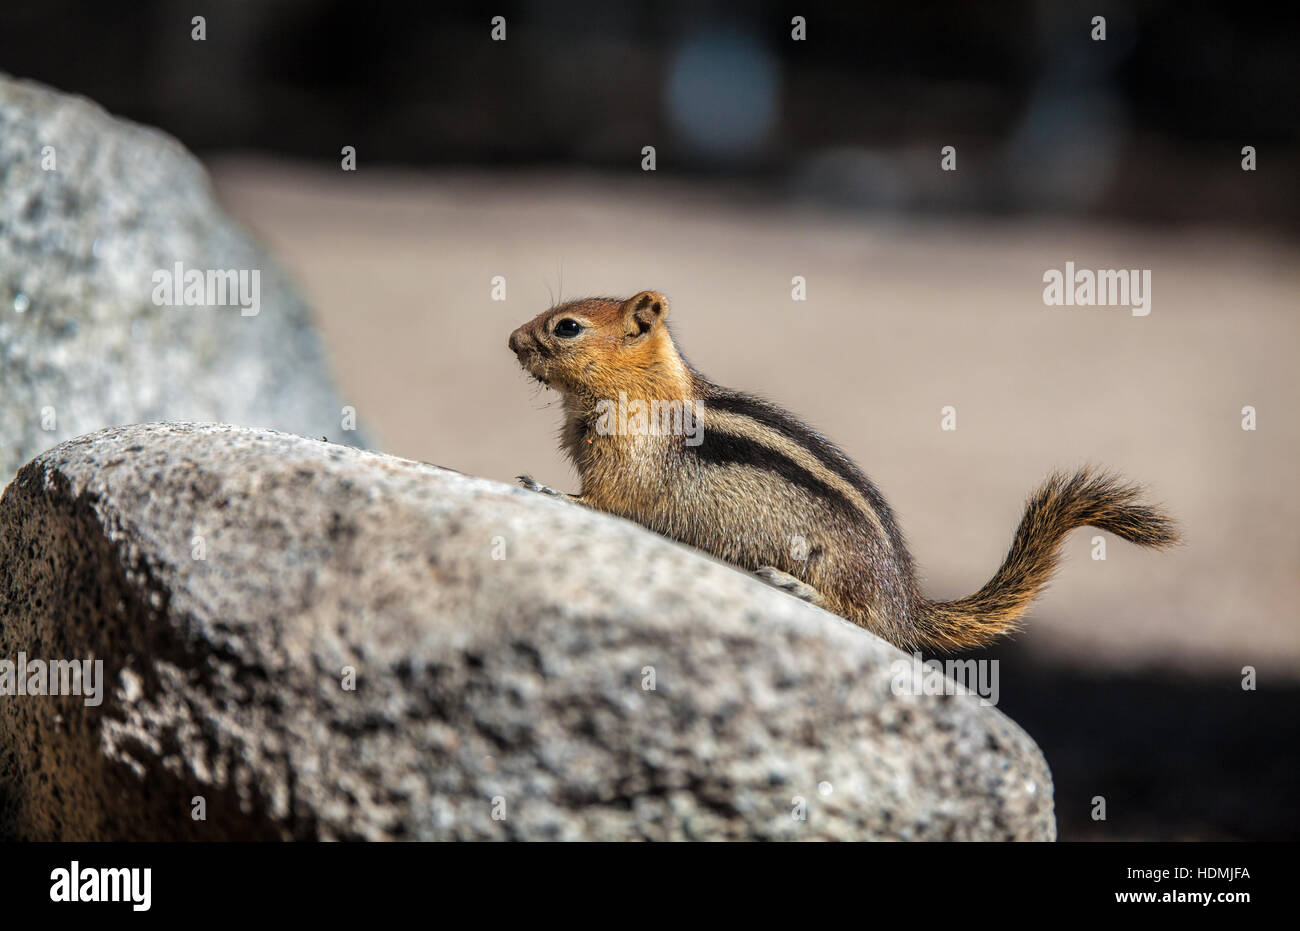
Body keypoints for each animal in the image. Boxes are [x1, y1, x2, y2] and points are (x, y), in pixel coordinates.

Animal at [507, 291, 1179, 652]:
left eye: (567, 327)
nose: (512, 340)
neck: (643, 389)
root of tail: (906, 601)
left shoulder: (627, 466)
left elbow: (605, 500)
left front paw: (551, 492)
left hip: (840, 569)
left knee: (864, 622)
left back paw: (801, 587)